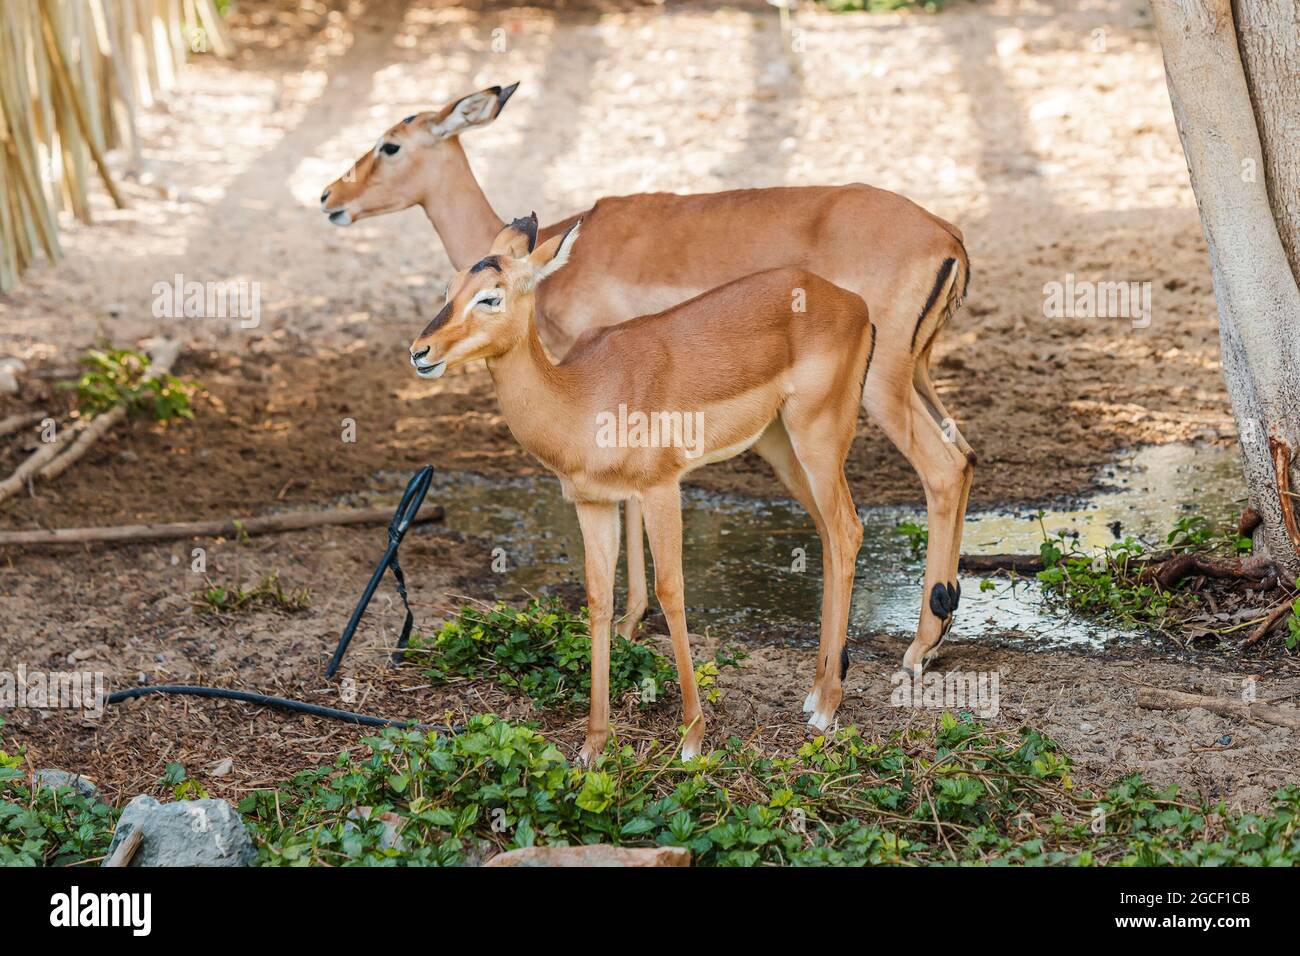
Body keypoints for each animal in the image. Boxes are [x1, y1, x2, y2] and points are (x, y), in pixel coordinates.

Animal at [323, 83, 973, 676]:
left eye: (390, 143)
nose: (330, 196)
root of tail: (948, 235)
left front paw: (632, 620)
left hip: (877, 390)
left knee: (937, 472)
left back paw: (914, 650)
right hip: (914, 376)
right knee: (963, 458)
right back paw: (937, 631)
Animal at [409, 214, 876, 760]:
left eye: (490, 296)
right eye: (450, 287)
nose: (420, 353)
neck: (582, 397)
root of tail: (852, 302)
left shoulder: (661, 488)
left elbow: (670, 589)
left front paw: (693, 735)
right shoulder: (593, 502)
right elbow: (597, 599)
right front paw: (594, 744)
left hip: (819, 440)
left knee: (847, 530)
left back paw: (827, 707)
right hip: (781, 449)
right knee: (828, 536)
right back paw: (815, 693)